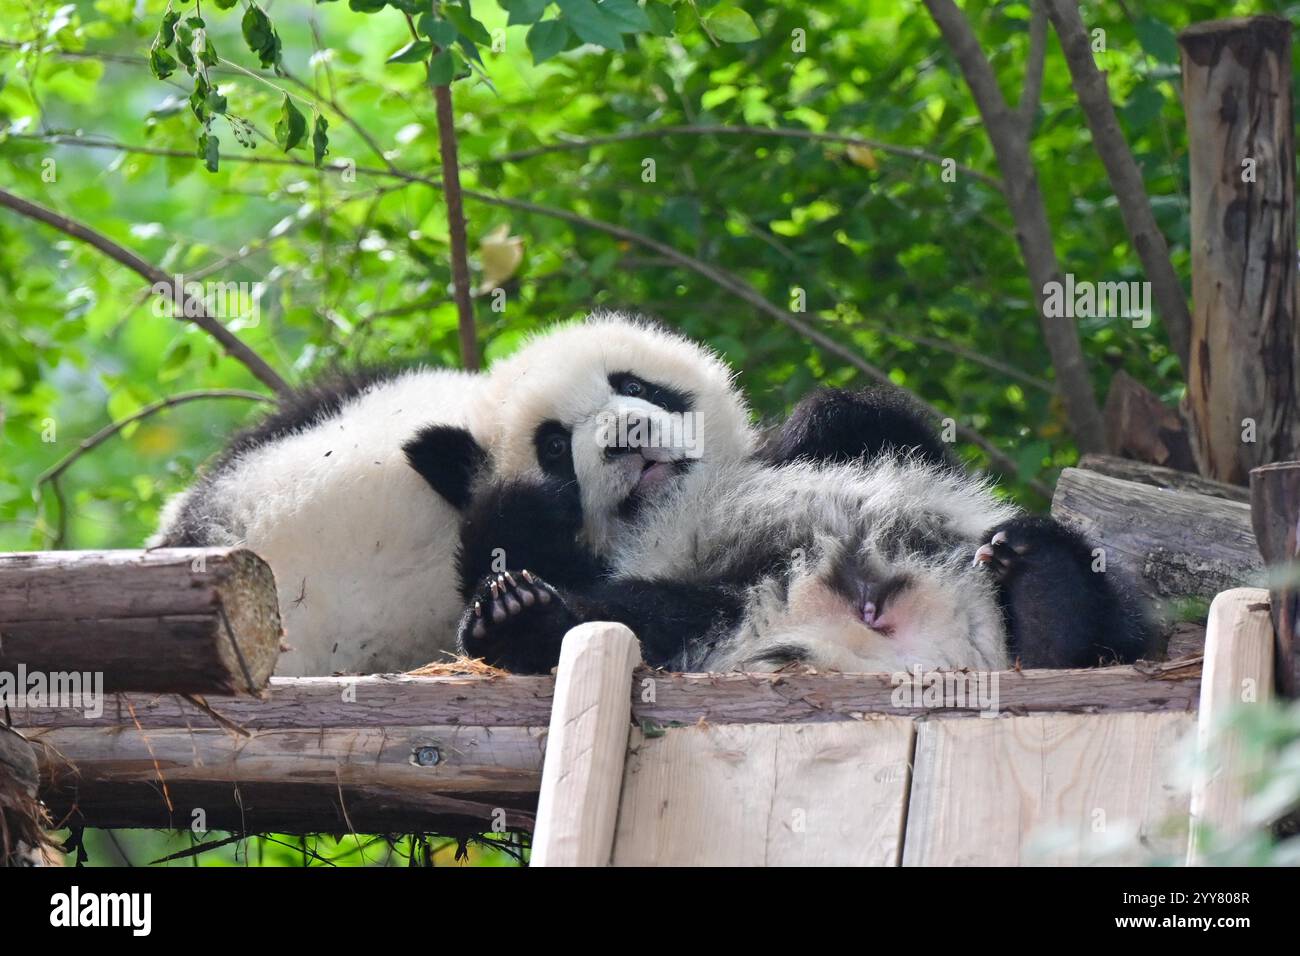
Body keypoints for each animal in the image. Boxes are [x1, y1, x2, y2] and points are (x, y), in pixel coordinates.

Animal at [449, 384, 1156, 675]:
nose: (627, 439)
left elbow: (855, 422)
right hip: (722, 607)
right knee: (640, 614)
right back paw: (518, 615)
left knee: (1112, 618)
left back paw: (1043, 582)